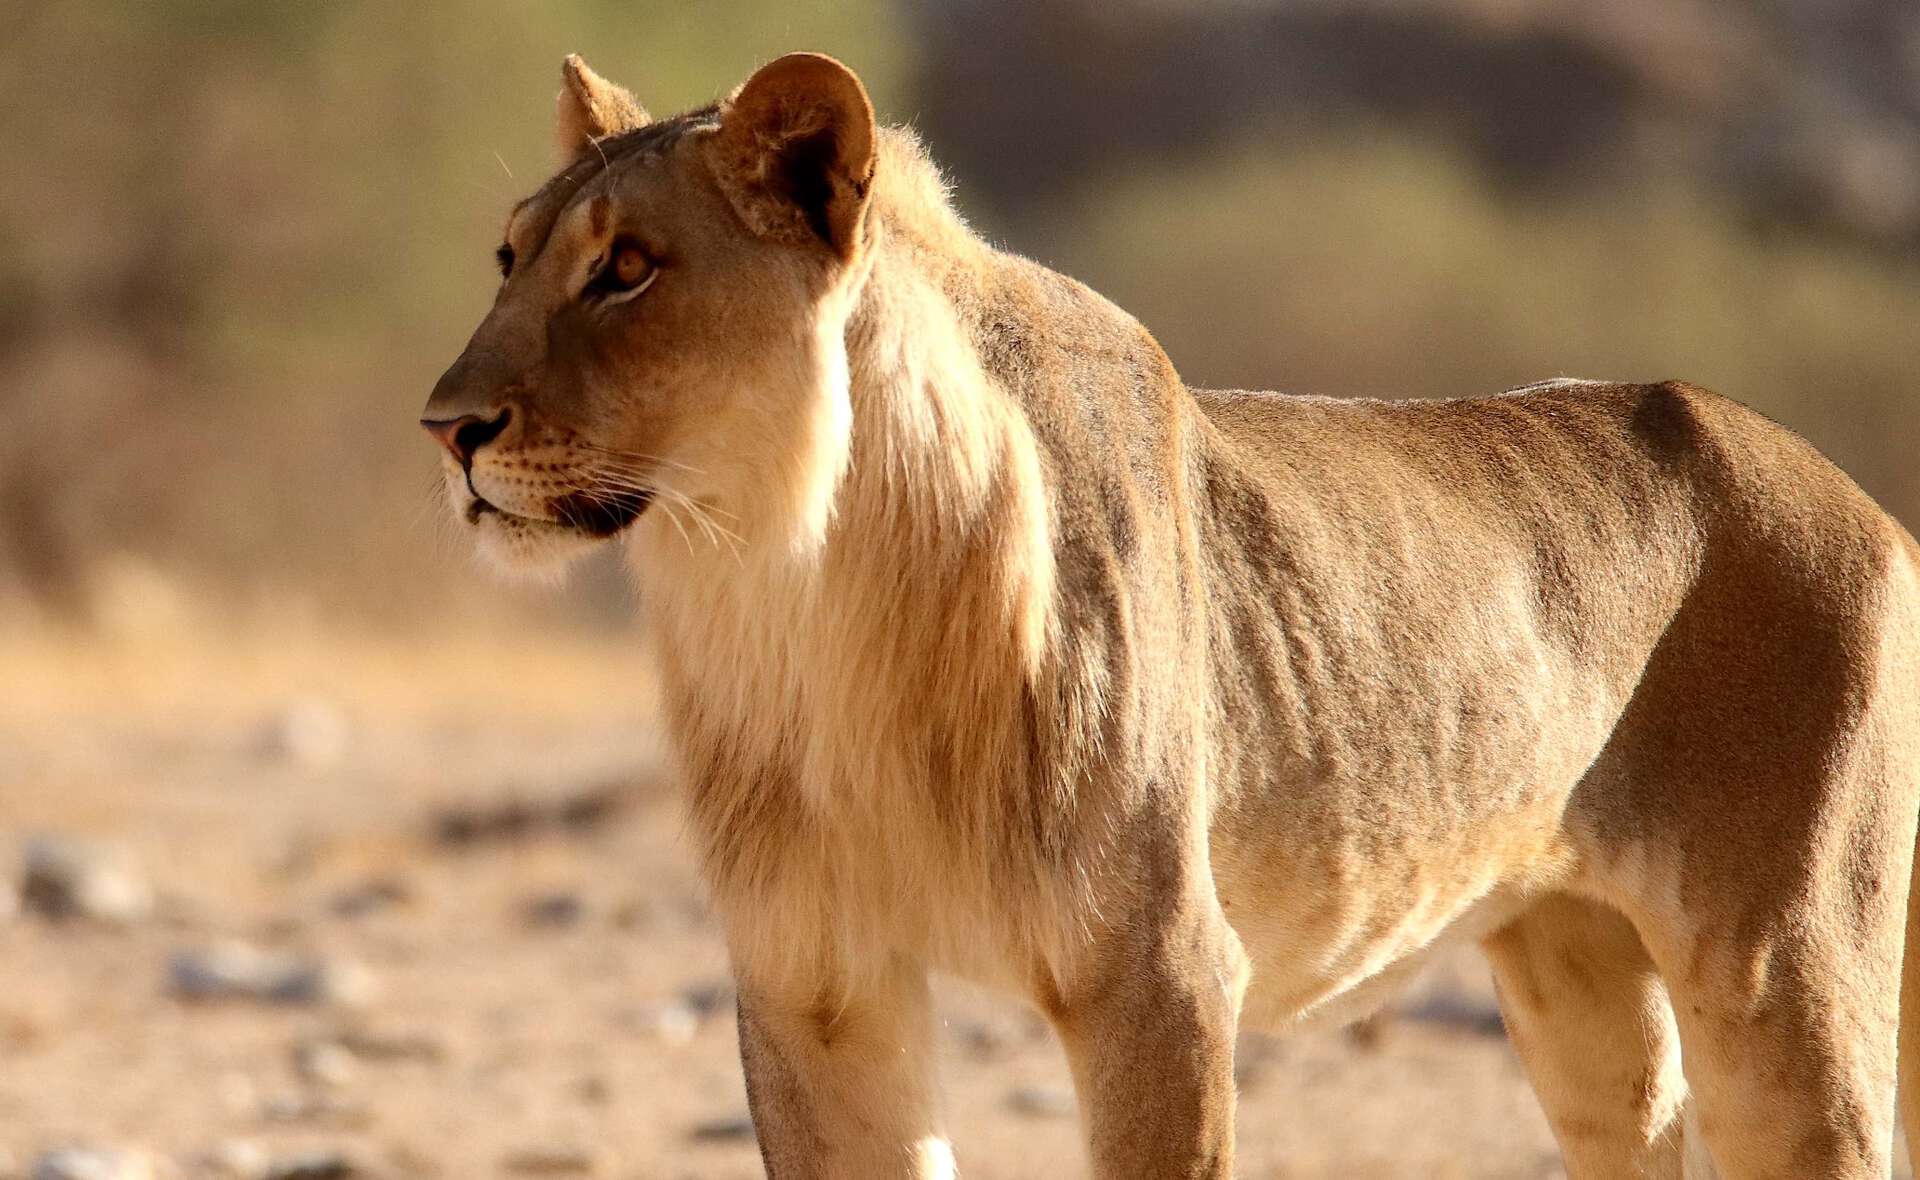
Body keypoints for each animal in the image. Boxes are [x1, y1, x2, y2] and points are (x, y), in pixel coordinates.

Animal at [422, 52, 1920, 1178]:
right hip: (1579, 980)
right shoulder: (816, 984)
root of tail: (1867, 502)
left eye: (628, 268)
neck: (793, 590)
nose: (446, 427)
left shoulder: (1160, 974)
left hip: (1784, 980)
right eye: (506, 256)